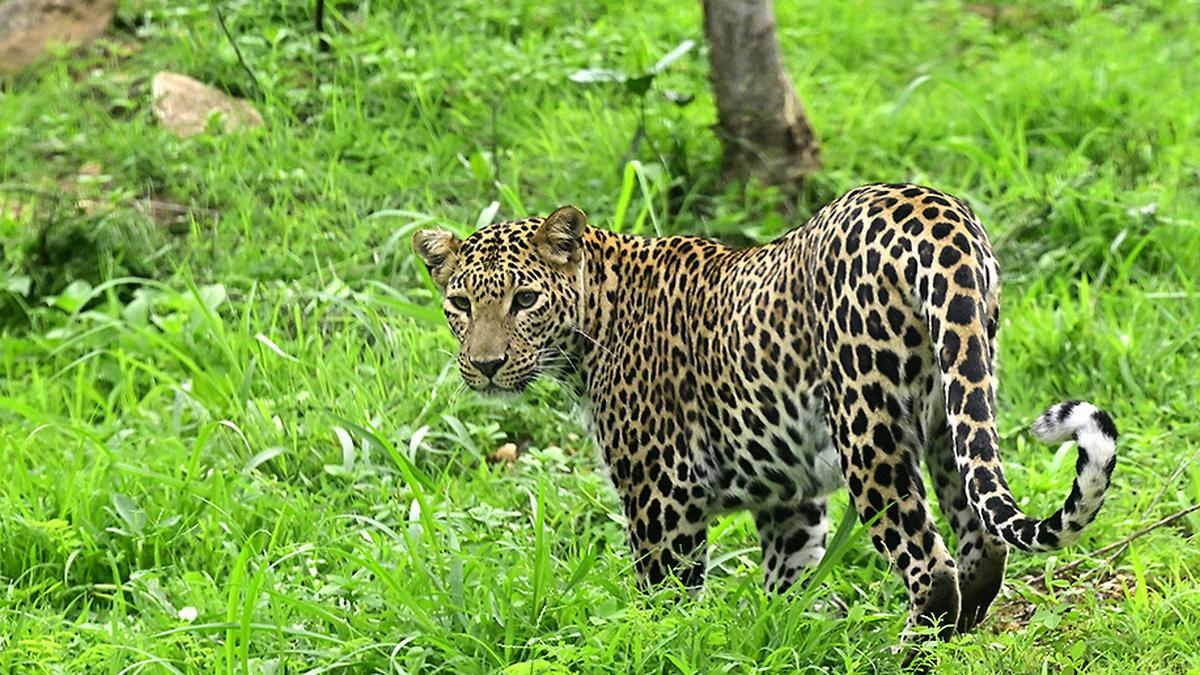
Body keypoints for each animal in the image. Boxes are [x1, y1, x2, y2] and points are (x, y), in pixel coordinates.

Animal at [413, 183, 1117, 645]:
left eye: (524, 299)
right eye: (459, 303)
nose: (485, 366)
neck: (595, 320)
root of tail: (930, 208)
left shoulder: (662, 498)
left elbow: (663, 605)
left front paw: (662, 646)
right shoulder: (790, 500)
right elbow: (787, 583)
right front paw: (778, 641)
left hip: (869, 427)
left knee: (932, 566)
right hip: (957, 403)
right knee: (982, 547)